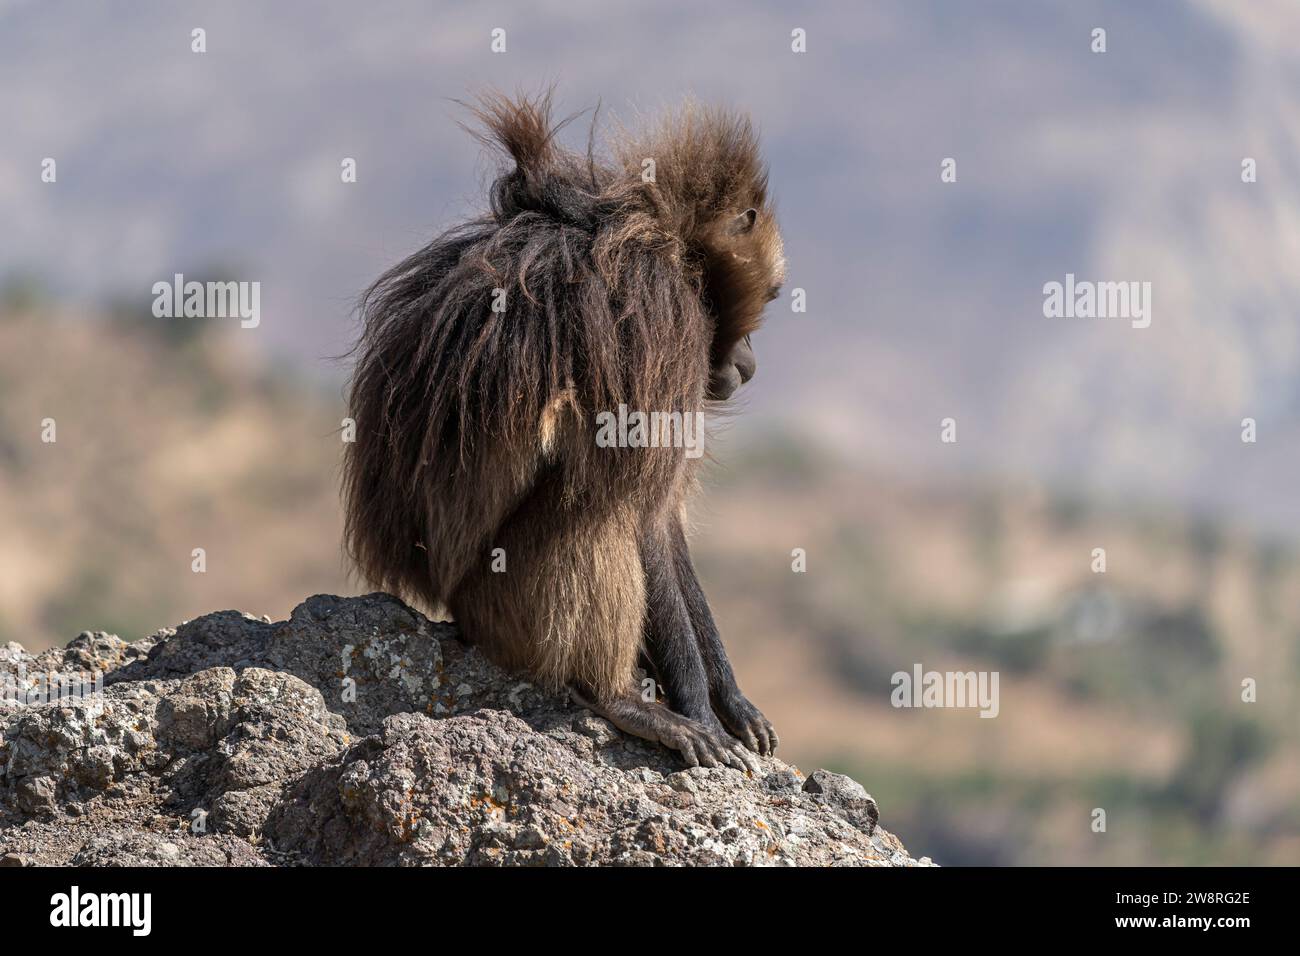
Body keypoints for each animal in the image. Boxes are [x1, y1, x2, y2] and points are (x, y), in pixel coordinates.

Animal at [342, 90, 785, 771]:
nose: (751, 361)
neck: (655, 233)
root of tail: (445, 600)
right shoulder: (661, 320)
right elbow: (645, 516)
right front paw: (702, 714)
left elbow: (665, 524)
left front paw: (733, 704)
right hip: (498, 609)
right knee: (594, 508)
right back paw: (617, 698)